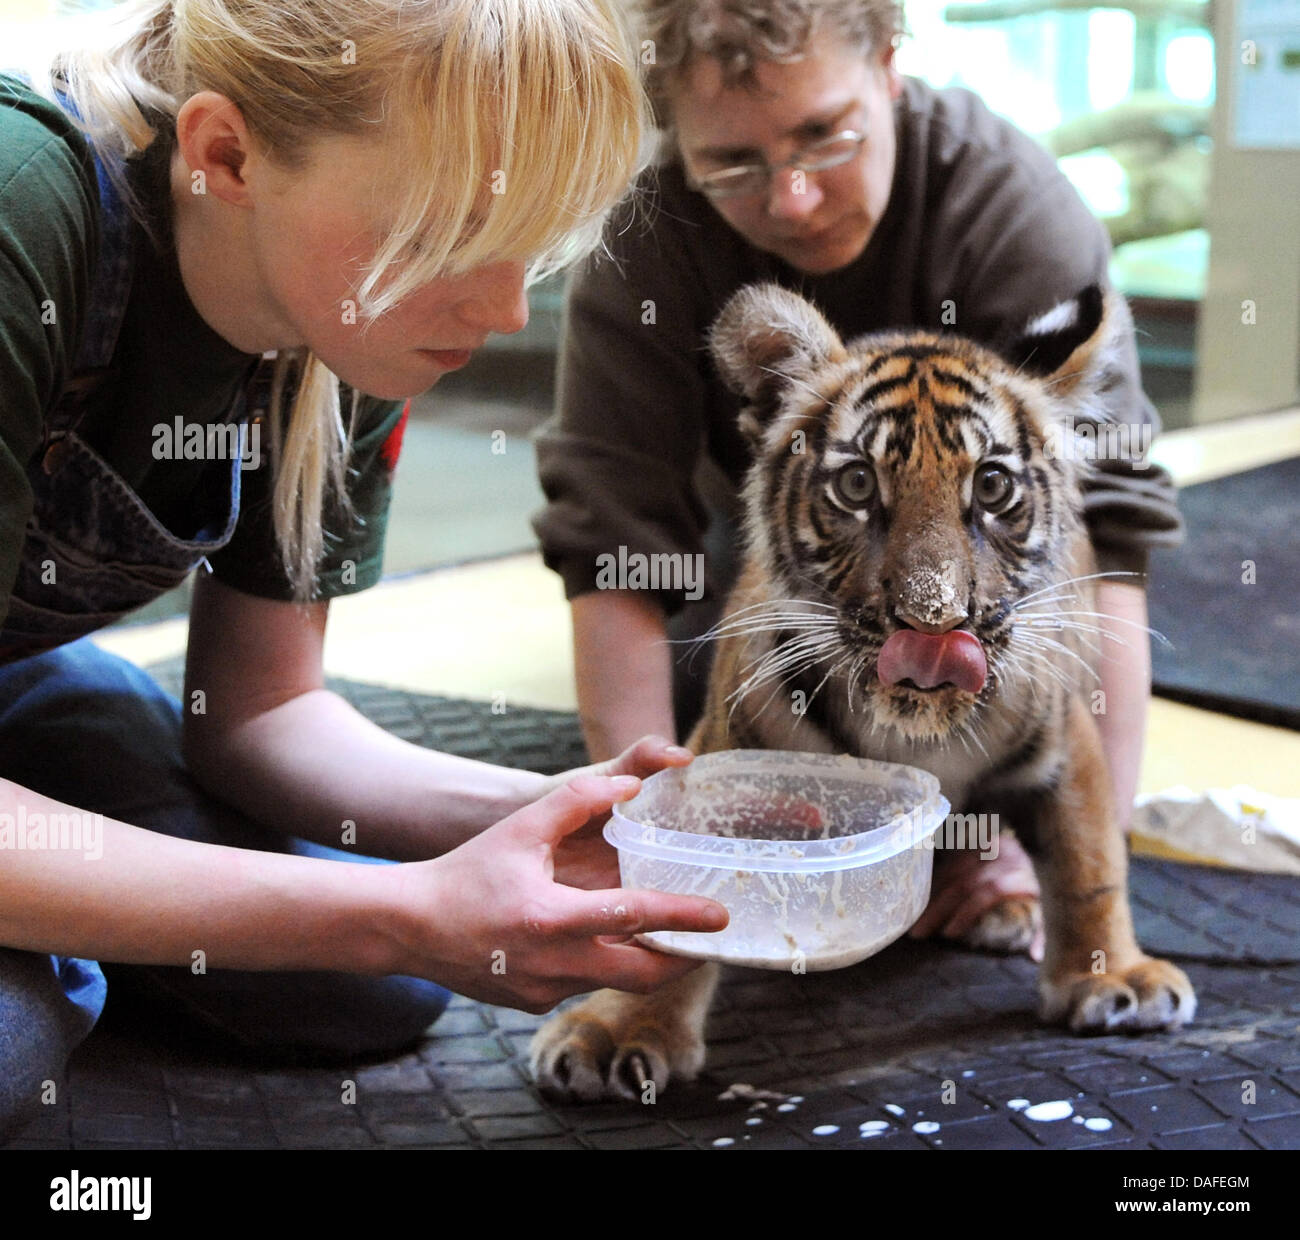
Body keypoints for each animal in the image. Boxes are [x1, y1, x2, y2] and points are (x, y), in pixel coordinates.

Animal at [531, 281, 1197, 1102]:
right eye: (856, 485)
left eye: (992, 485)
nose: (932, 620)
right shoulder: (727, 751)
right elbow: (676, 906)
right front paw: (620, 1027)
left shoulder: (1064, 742)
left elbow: (1091, 864)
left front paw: (1117, 978)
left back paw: (1002, 905)